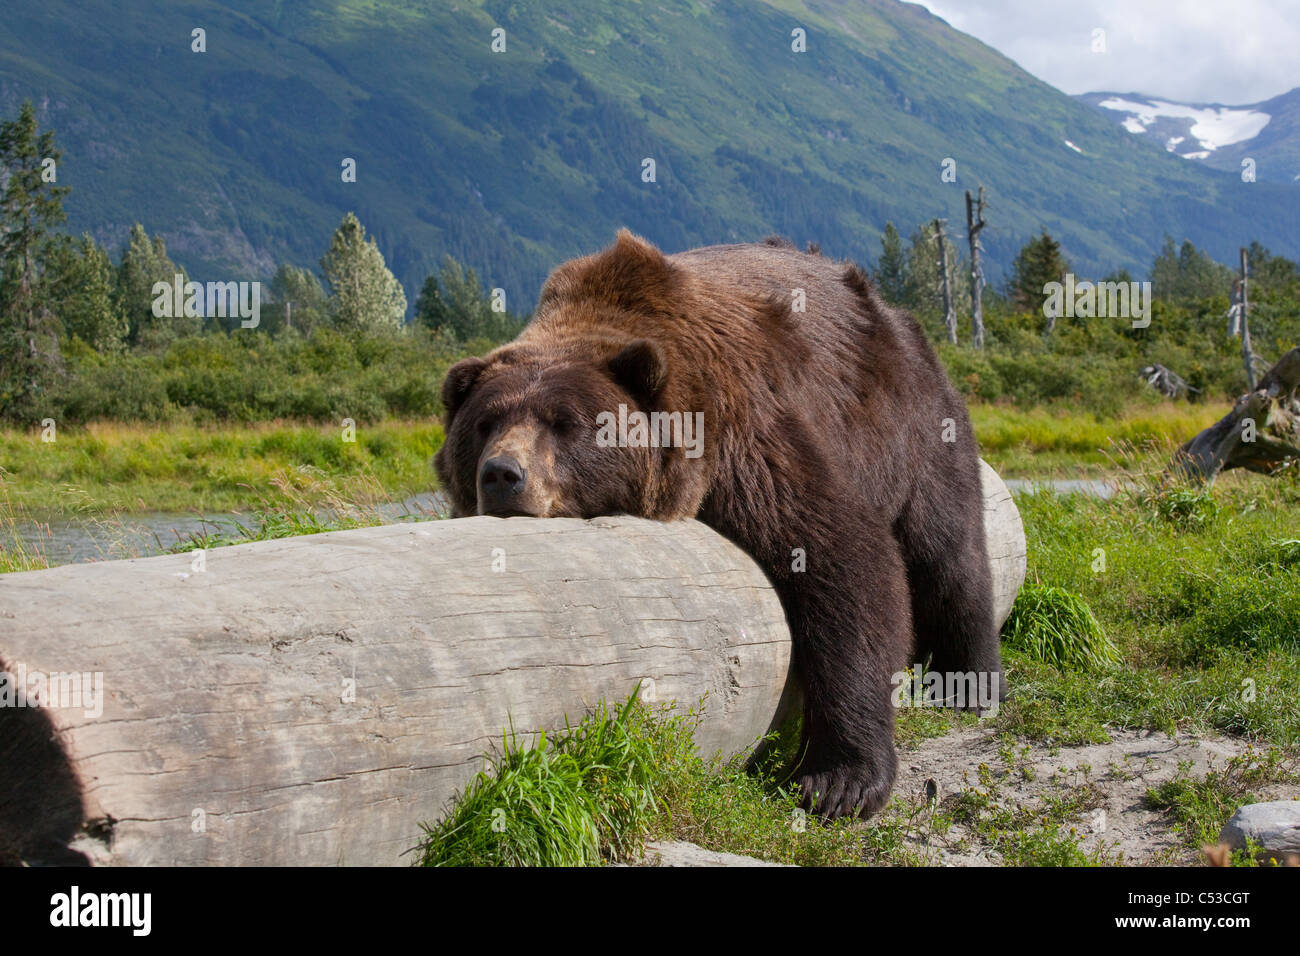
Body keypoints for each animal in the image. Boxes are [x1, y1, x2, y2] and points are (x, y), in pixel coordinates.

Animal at [434, 229, 1002, 818]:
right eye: (484, 422)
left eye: (563, 423)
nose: (502, 475)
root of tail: (895, 317)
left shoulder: (751, 430)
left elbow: (844, 559)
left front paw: (838, 781)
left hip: (913, 423)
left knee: (947, 551)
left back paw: (969, 682)